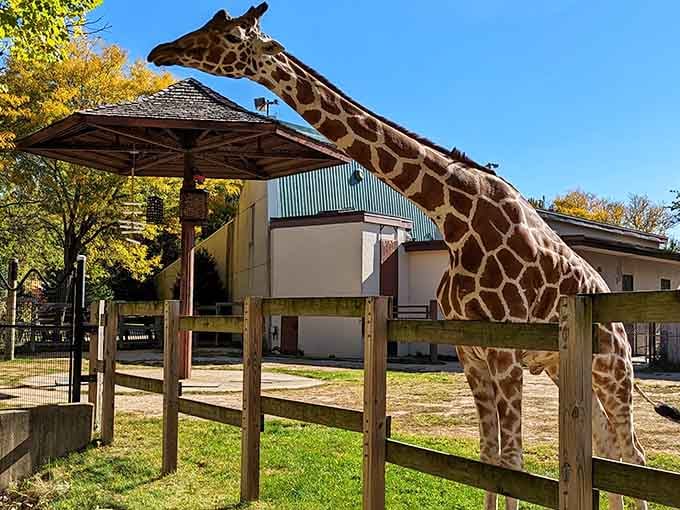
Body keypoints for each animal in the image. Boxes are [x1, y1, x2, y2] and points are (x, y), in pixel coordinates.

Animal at [148, 4, 676, 508]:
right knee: (608, 449)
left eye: (231, 36)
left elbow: (513, 461)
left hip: (613, 367)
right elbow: (489, 456)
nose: (161, 50)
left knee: (634, 453)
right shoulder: (471, 351)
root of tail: (612, 307)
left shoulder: (504, 351)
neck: (455, 216)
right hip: (567, 370)